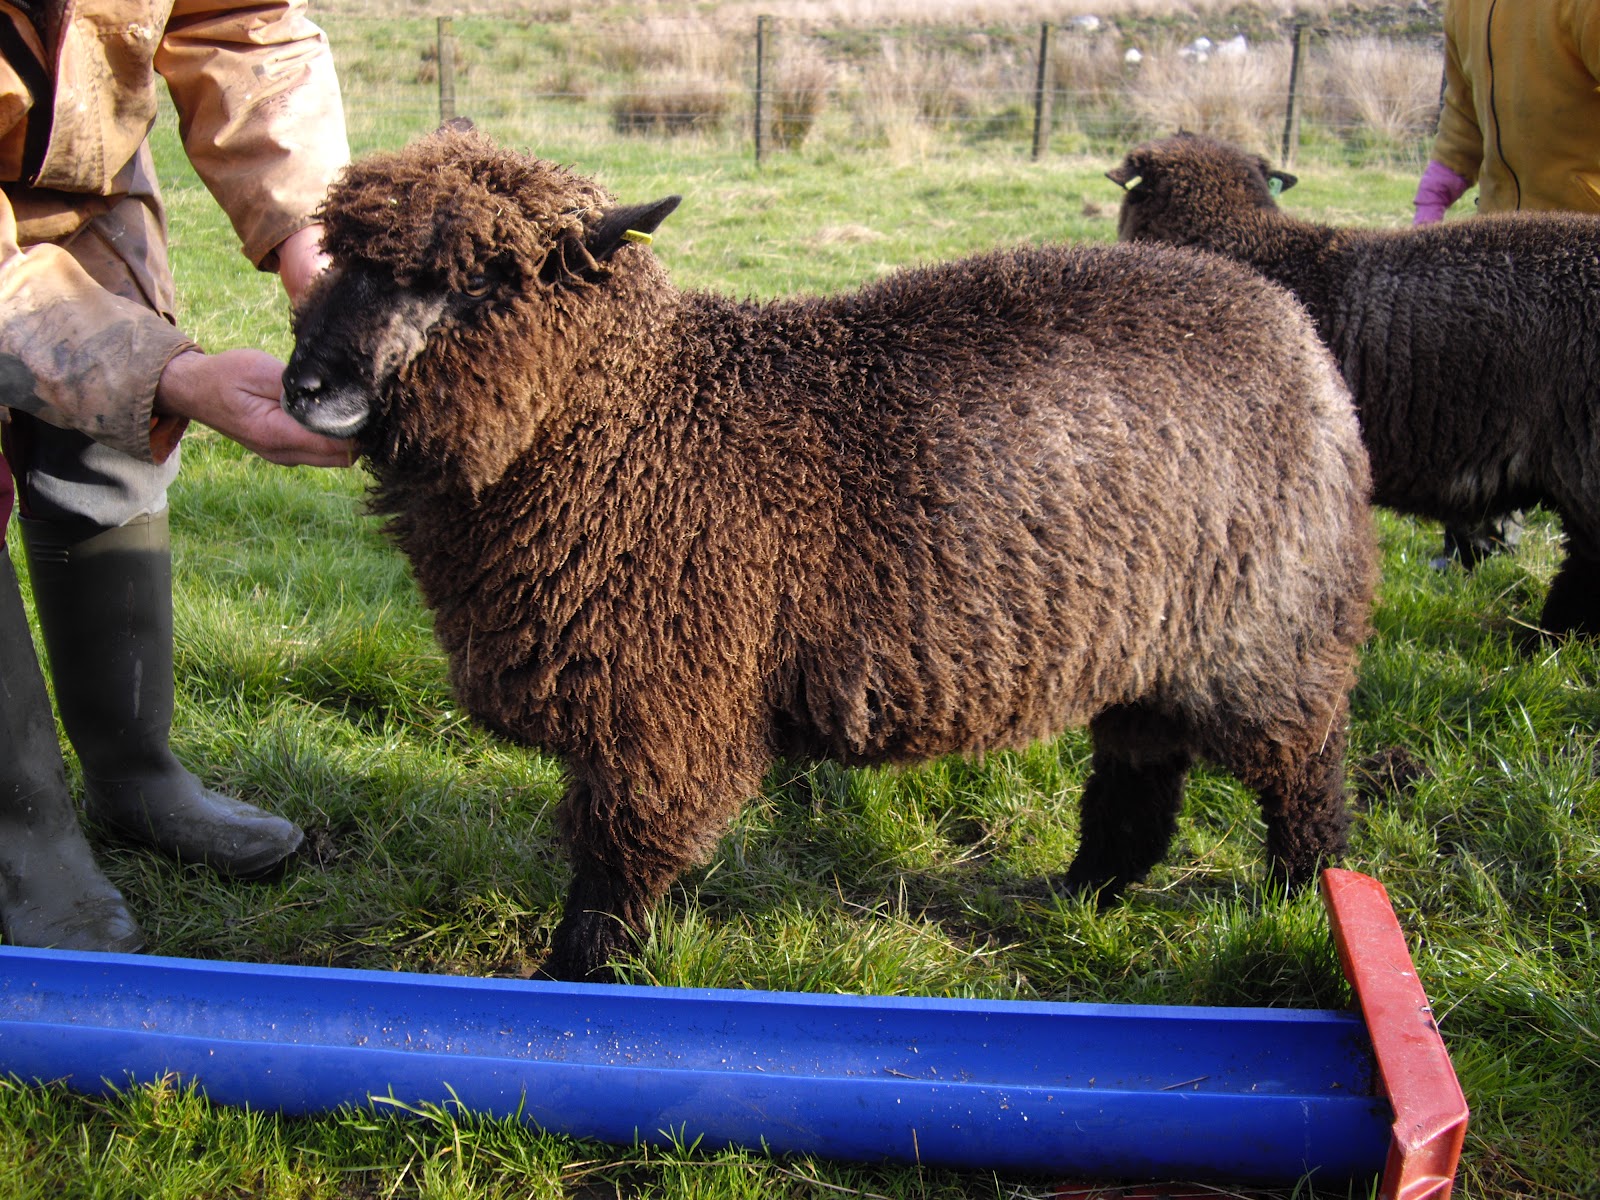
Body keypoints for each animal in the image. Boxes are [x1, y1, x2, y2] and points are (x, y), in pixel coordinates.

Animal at [282, 125, 1375, 983]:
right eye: (338, 258)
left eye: (476, 282)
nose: (307, 388)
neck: (633, 423)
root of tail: (1286, 323)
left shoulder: (663, 710)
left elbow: (612, 871)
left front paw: (575, 980)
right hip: (1141, 641)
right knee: (1138, 777)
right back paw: (1081, 896)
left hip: (1272, 633)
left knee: (1304, 770)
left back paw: (1300, 894)